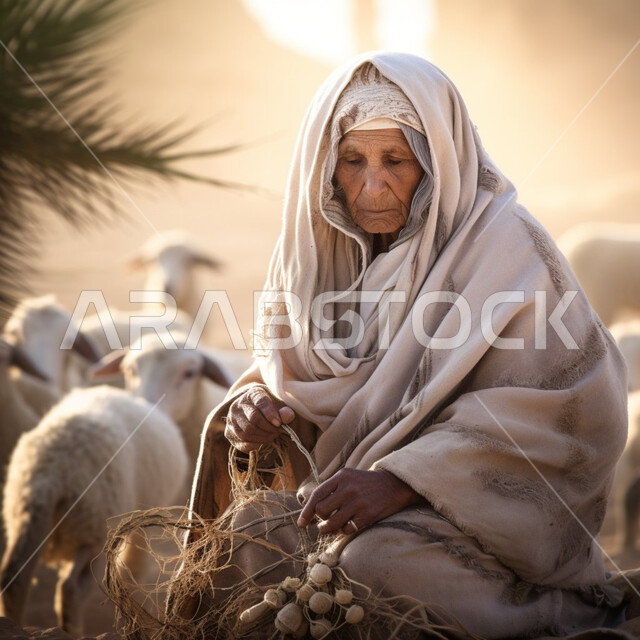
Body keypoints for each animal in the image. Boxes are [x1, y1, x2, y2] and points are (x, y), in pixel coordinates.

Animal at [0, 385, 189, 636]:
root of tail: (53, 474)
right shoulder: (148, 510)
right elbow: (135, 561)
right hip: (95, 527)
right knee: (71, 587)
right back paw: (72, 631)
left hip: (26, 515)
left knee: (14, 579)